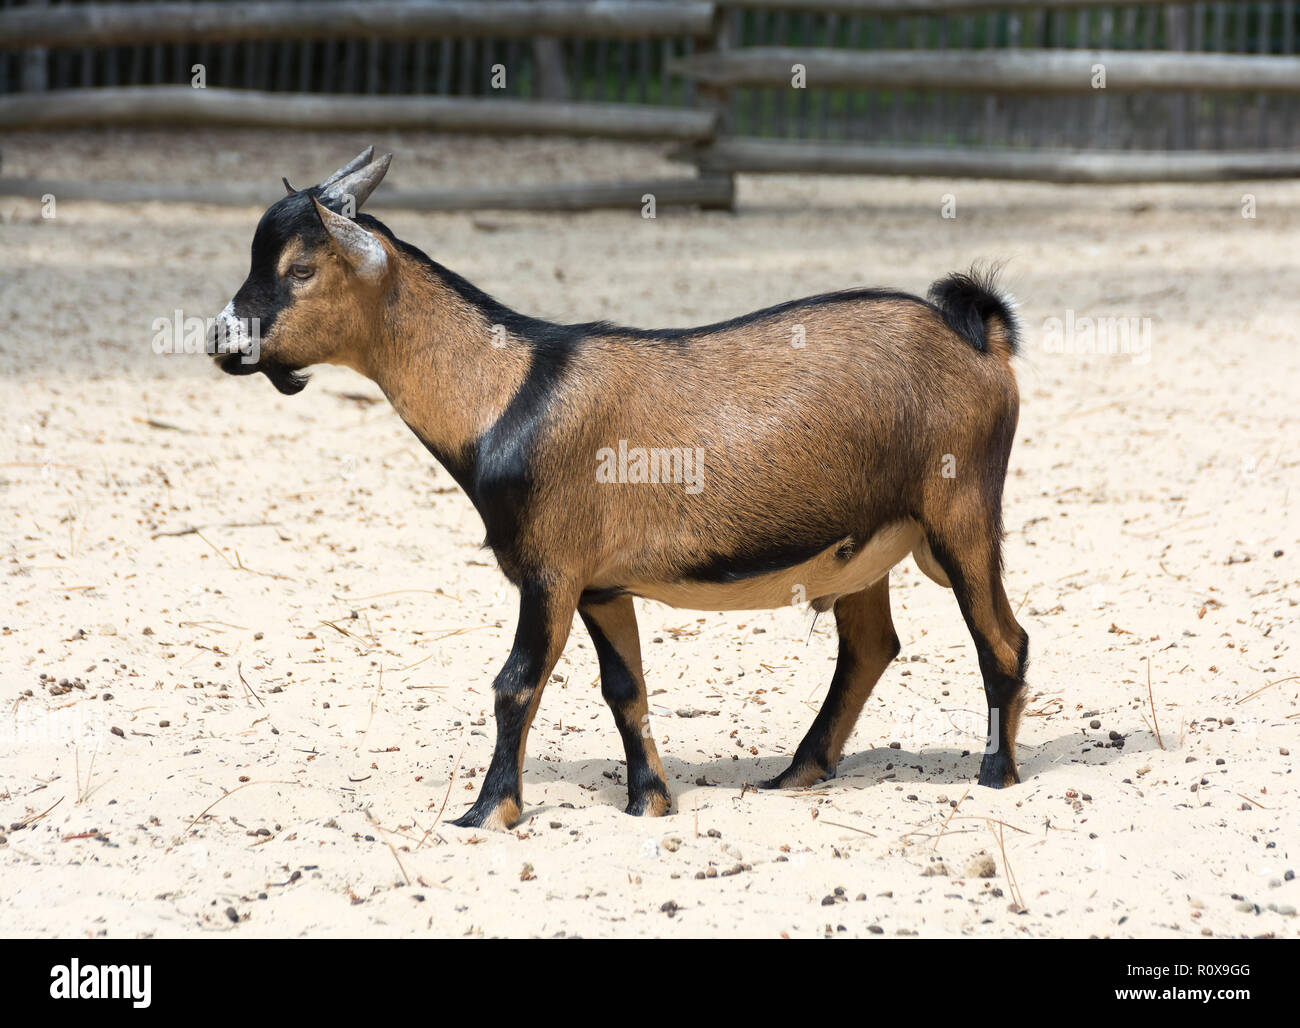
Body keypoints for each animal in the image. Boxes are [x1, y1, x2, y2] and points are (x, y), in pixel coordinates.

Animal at [210, 148, 1030, 830]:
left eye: (301, 270)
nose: (221, 338)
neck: (506, 390)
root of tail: (980, 340)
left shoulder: (550, 570)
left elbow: (515, 683)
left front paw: (486, 813)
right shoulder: (600, 584)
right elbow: (623, 689)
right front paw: (650, 800)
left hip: (959, 513)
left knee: (1002, 639)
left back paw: (996, 775)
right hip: (863, 544)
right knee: (869, 646)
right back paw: (796, 773)